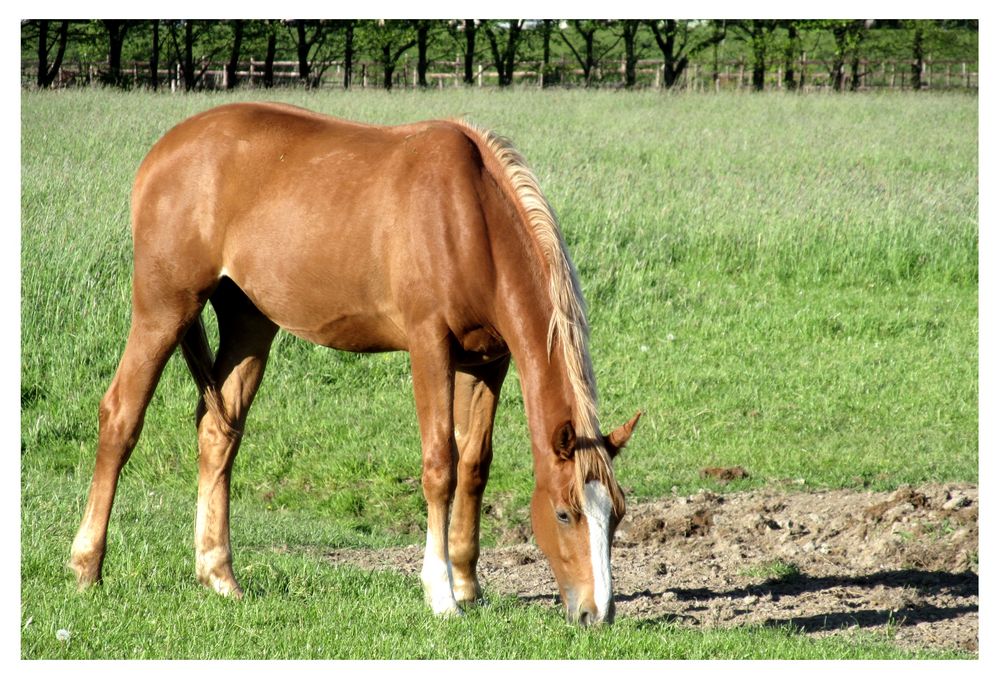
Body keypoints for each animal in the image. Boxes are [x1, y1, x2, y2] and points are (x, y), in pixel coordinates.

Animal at [69, 102, 641, 626]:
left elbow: (475, 465)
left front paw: (468, 584)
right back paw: (87, 567)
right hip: (165, 308)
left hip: (249, 322)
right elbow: (441, 464)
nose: (597, 614)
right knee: (120, 416)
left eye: (616, 514)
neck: (469, 217)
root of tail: (161, 153)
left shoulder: (487, 361)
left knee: (218, 431)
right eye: (564, 513)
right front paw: (441, 595)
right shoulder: (429, 346)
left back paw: (220, 576)